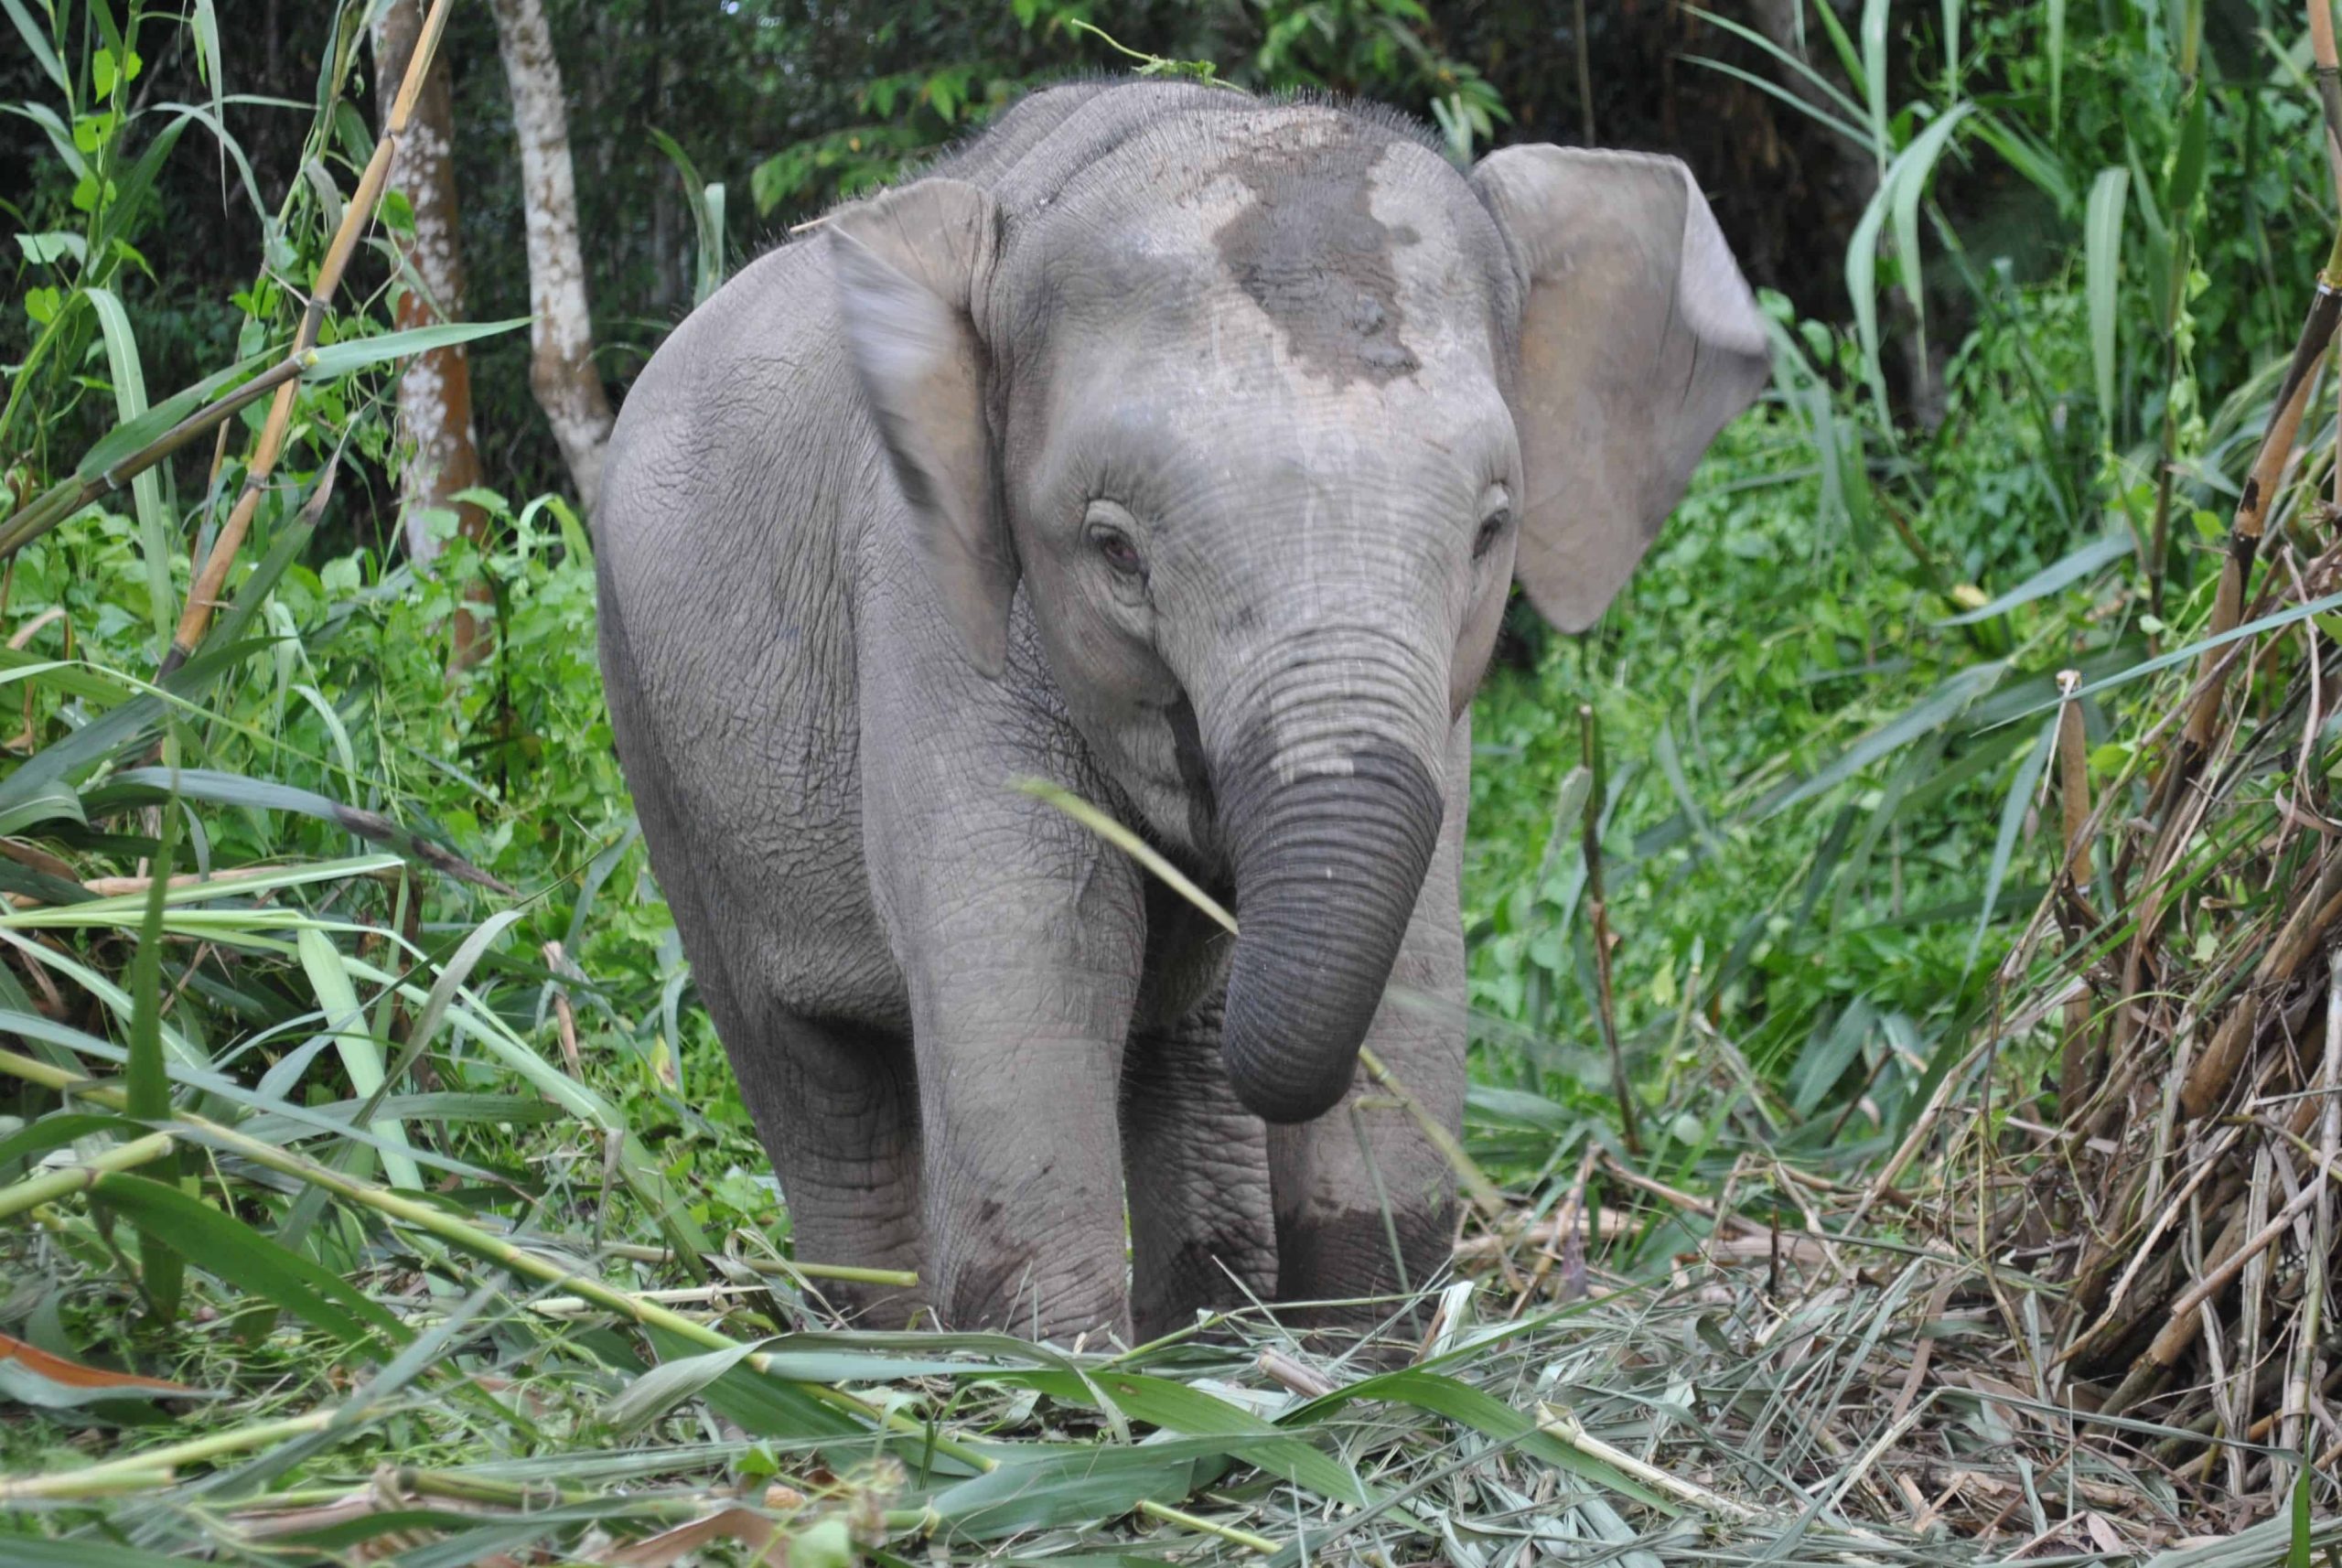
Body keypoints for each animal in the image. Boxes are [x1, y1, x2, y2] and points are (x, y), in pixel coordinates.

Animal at [593, 78, 1768, 1343]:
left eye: (1491, 529)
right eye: (1115, 550)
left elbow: (1413, 952)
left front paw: (1360, 1350)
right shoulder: (923, 590)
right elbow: (1035, 944)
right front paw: (1061, 1369)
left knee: (1173, 1048)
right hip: (654, 735)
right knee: (812, 1070)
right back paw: (880, 1347)